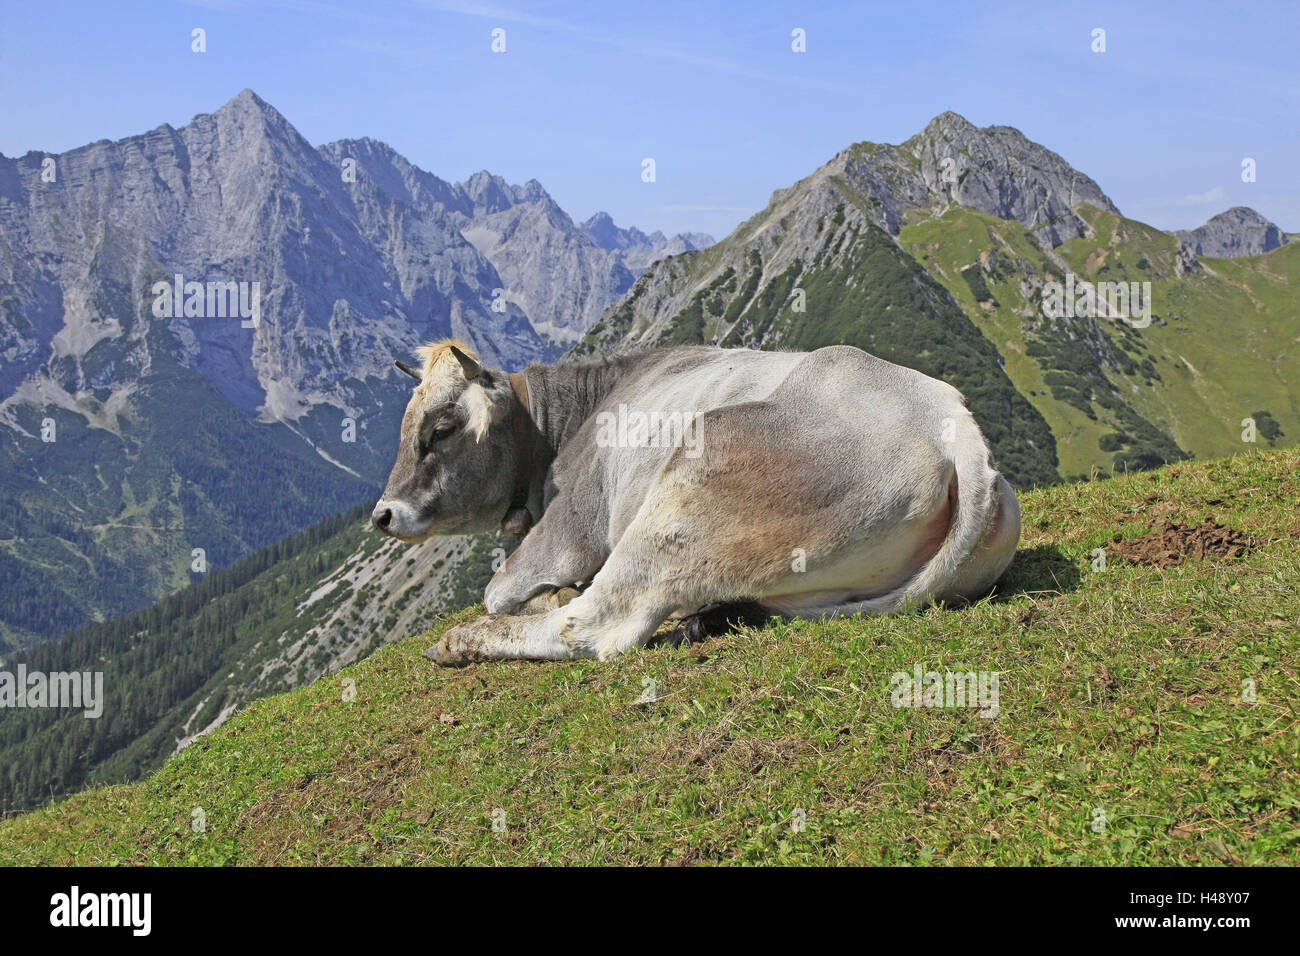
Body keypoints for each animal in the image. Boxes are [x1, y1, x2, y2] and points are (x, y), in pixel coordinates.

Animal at [373, 340, 1020, 665]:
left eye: (442, 429)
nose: (382, 514)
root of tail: (949, 423)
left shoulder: (572, 524)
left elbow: (500, 588)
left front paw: (544, 593)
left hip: (695, 476)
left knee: (597, 623)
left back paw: (465, 641)